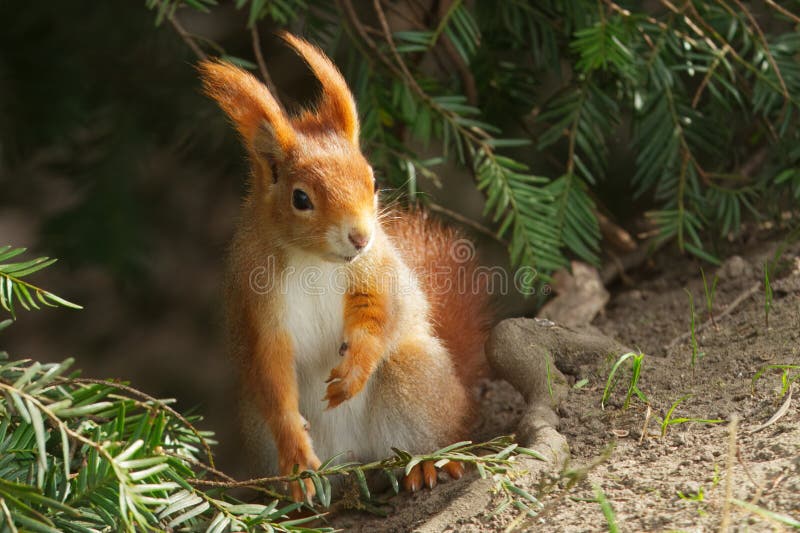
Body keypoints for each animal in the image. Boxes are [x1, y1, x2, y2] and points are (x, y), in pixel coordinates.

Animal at [199, 32, 492, 502]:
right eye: (301, 198)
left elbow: (381, 314)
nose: (360, 236)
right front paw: (295, 448)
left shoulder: (375, 269)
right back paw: (303, 497)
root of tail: (357, 459)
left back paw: (427, 464)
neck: (314, 260)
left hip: (415, 382)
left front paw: (354, 369)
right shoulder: (255, 299)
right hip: (257, 423)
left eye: (373, 180)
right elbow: (270, 366)